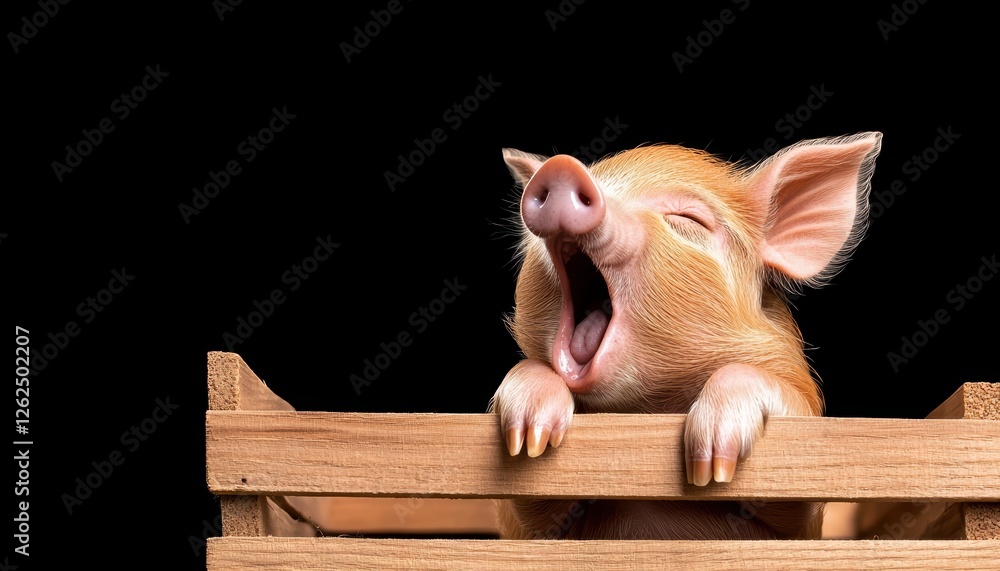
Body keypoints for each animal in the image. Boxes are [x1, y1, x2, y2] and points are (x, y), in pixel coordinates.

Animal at [489, 132, 882, 540]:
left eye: (686, 219)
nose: (562, 167)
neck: (649, 409)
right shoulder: (532, 524)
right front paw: (527, 441)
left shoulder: (806, 477)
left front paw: (710, 466)